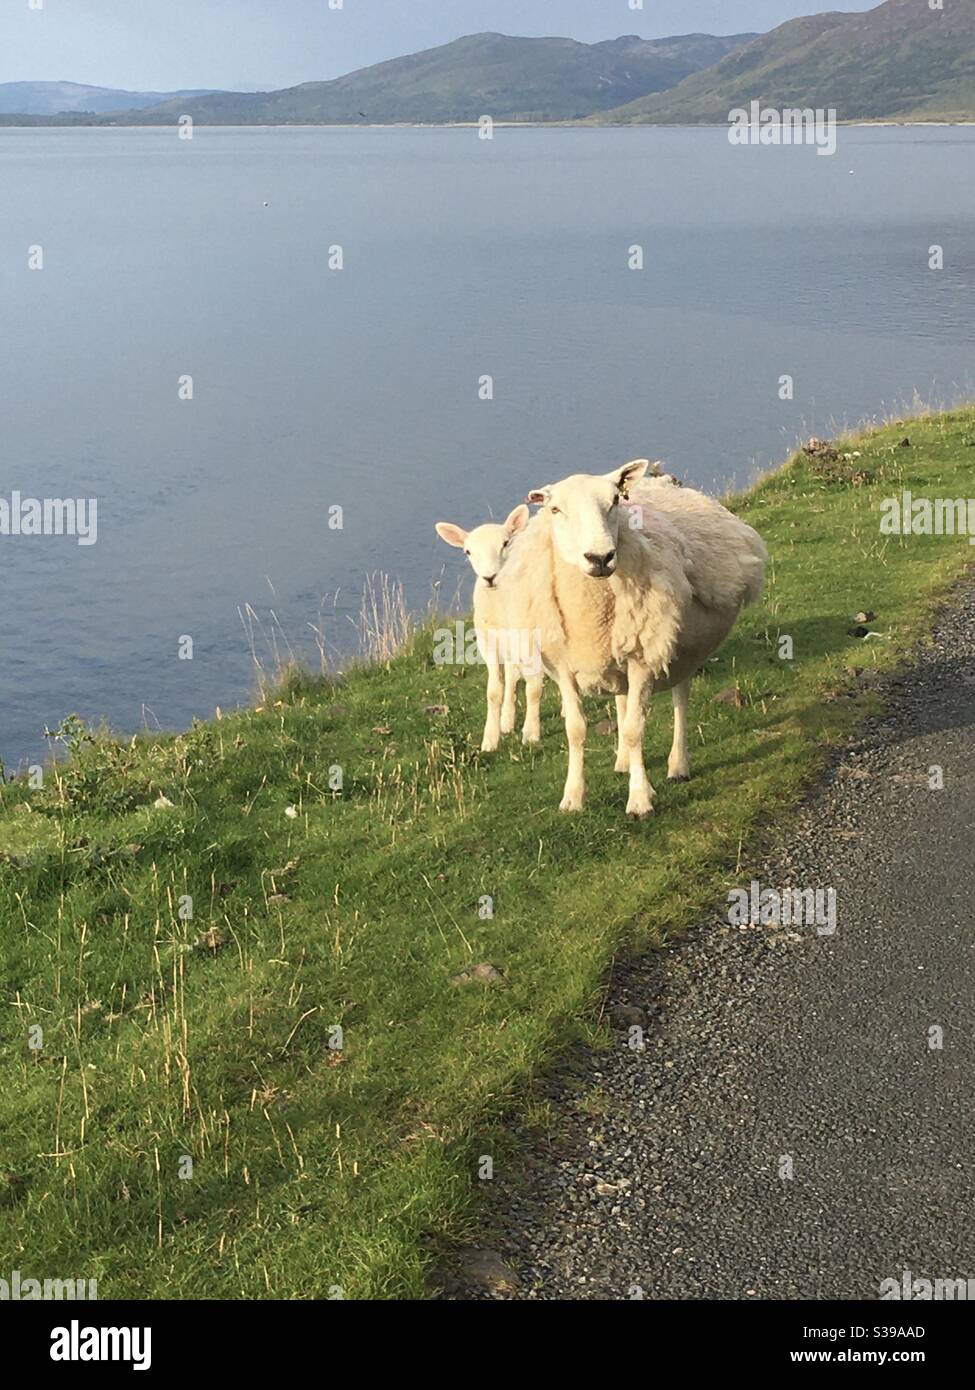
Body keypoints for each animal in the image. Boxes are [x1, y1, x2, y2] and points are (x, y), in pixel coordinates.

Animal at [435, 504, 545, 751]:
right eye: (468, 551)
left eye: (506, 543)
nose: (489, 577)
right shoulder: (489, 645)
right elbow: (494, 691)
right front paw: (490, 740)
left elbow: (533, 686)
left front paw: (531, 734)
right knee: (512, 676)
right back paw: (507, 720)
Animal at [498, 459, 767, 817]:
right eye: (555, 509)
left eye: (614, 500)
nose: (599, 557)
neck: (592, 611)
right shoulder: (564, 666)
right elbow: (576, 730)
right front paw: (573, 797)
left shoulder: (642, 658)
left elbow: (634, 729)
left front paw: (640, 798)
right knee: (622, 699)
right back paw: (623, 763)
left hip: (680, 647)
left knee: (680, 699)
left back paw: (677, 765)